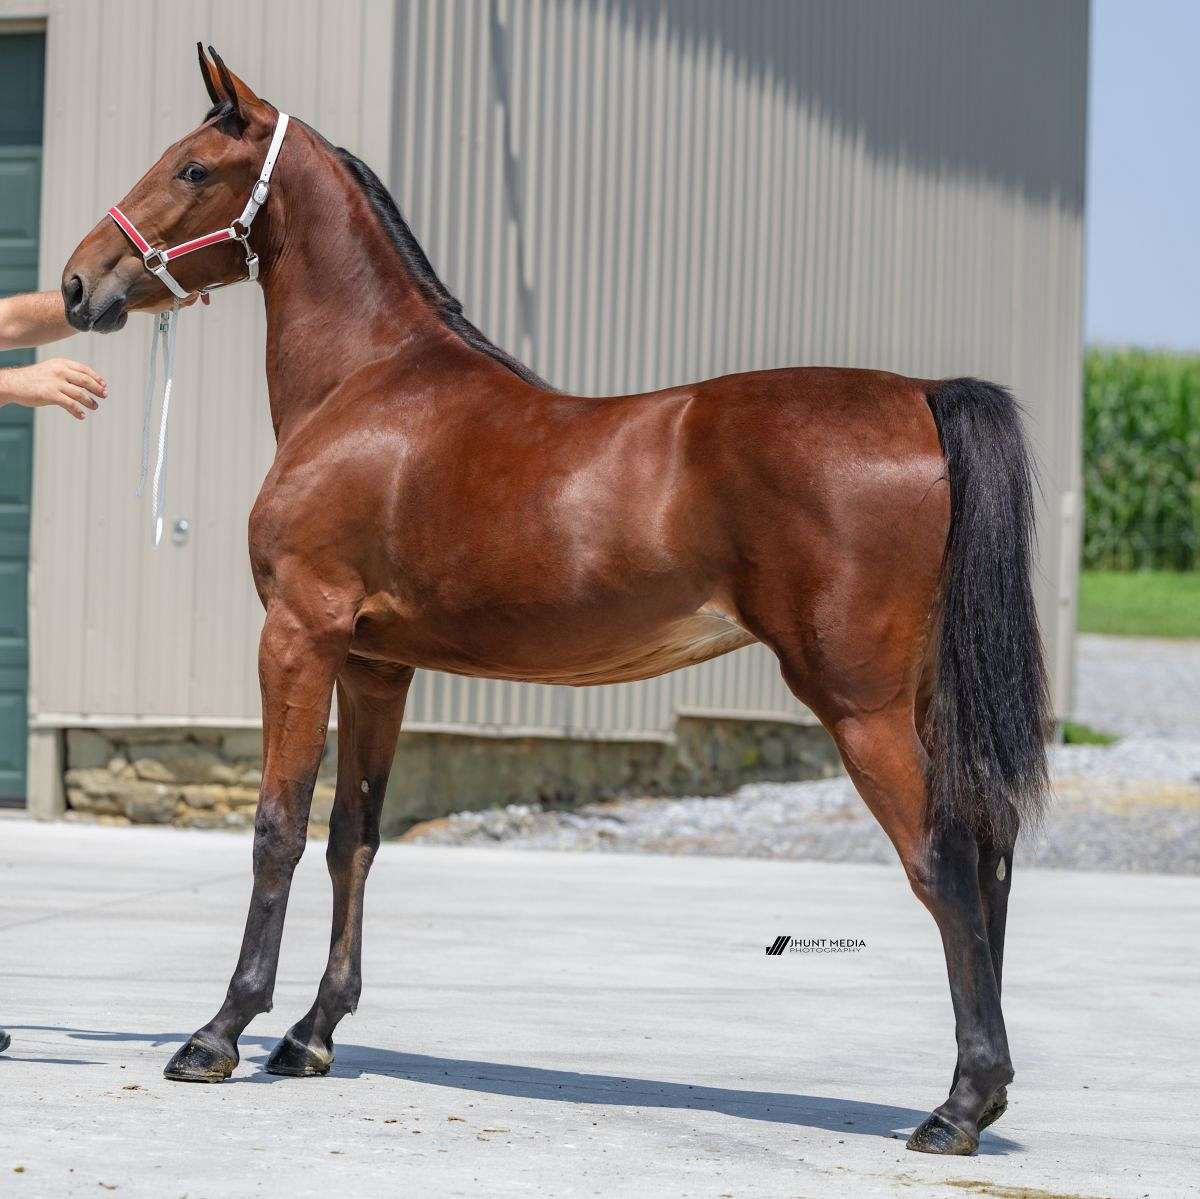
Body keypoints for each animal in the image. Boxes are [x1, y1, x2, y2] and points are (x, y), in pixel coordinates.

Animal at [61, 46, 1049, 1157]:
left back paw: (958, 1104)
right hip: (921, 697)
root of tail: (923, 394)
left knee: (944, 859)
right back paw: (981, 1091)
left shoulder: (298, 638)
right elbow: (354, 834)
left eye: (192, 168)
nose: (78, 282)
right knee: (991, 850)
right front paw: (312, 1034)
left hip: (862, 705)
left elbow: (277, 826)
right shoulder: (377, 664)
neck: (366, 386)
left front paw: (220, 1032)